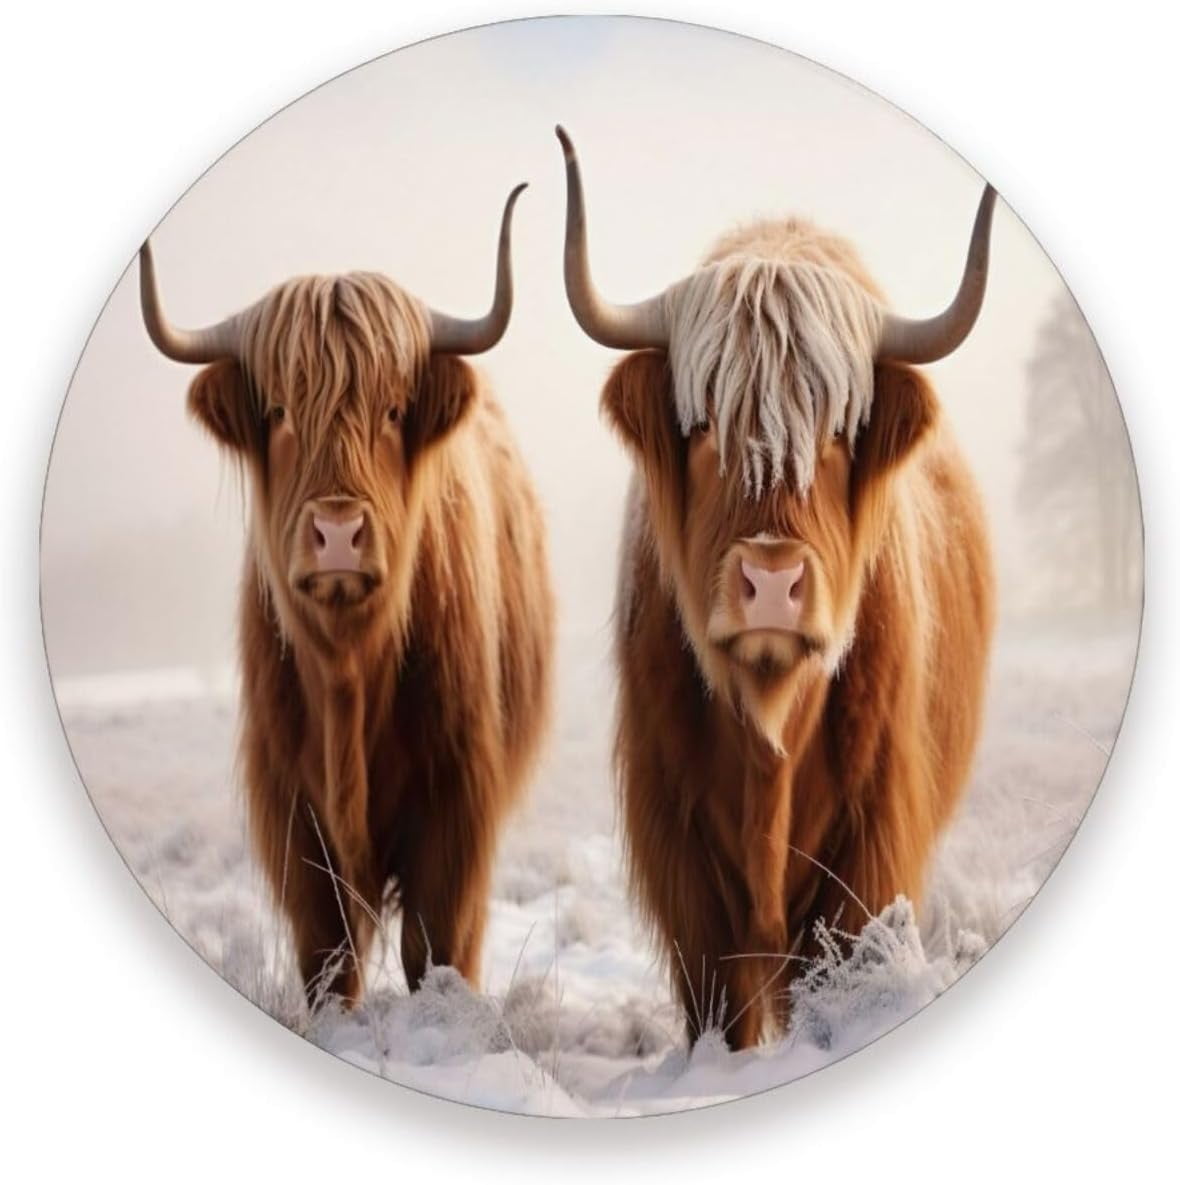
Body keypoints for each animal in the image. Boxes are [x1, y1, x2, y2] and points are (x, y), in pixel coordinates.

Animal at [138, 184, 554, 1007]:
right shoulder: (290, 806)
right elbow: (327, 950)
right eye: (277, 413)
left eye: (392, 411)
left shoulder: (459, 794)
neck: (348, 671)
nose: (337, 532)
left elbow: (437, 942)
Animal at [555, 127, 996, 1049]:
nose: (770, 580)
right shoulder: (677, 839)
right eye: (700, 425)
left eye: (838, 429)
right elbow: (720, 998)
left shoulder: (873, 837)